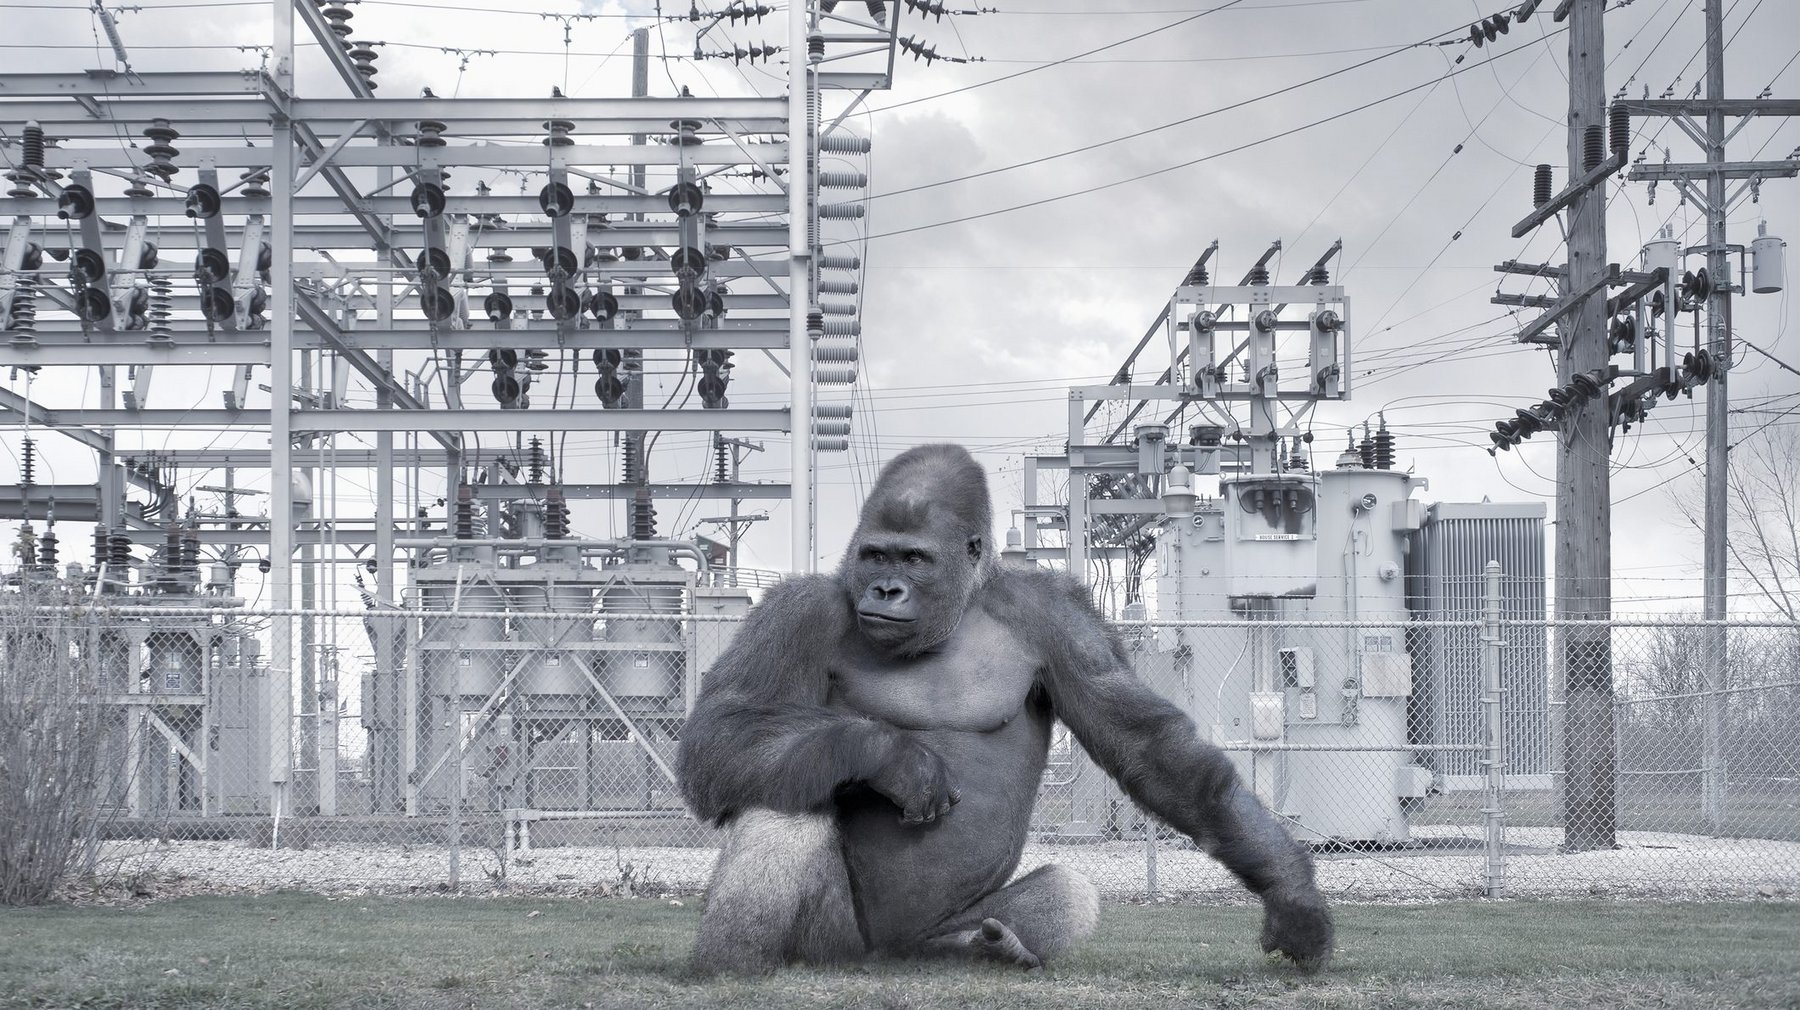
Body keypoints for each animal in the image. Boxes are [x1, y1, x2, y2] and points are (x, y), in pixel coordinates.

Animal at [676, 444, 1332, 974]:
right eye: (875, 555)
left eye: (913, 559)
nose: (885, 590)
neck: (957, 609)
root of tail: (889, 957)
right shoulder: (796, 610)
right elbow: (719, 733)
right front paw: (893, 756)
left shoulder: (1059, 618)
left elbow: (1149, 751)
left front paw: (1289, 891)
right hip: (838, 946)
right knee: (782, 795)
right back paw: (734, 968)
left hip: (940, 935)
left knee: (1065, 889)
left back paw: (993, 947)